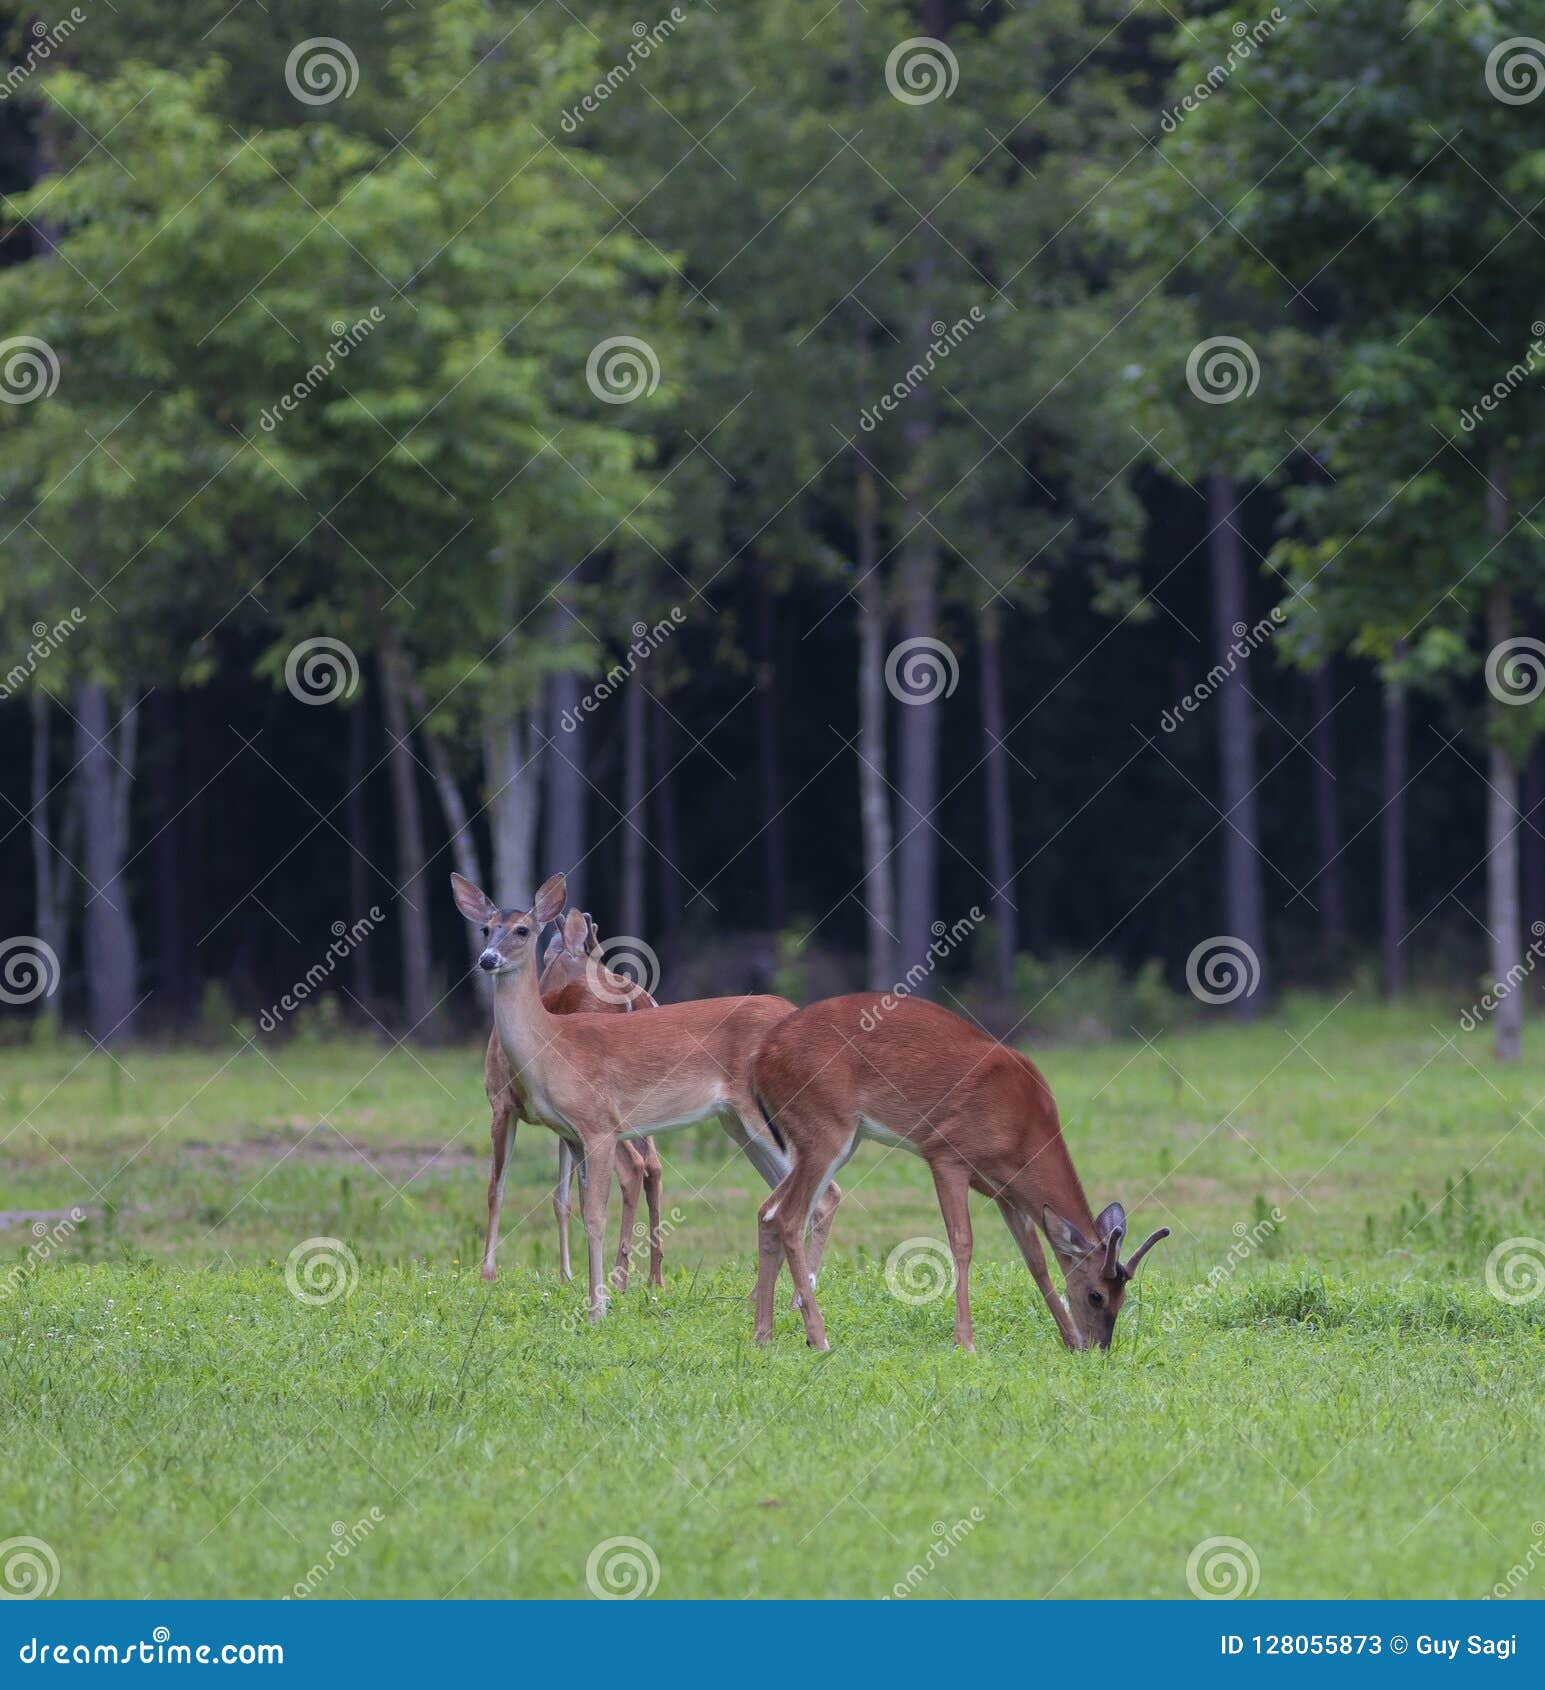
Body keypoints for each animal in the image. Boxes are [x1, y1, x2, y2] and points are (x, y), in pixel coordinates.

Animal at [478, 907, 663, 1287]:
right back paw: (654, 1277)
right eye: (599, 947)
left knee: (635, 1166)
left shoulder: (502, 1105)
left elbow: (496, 1187)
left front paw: (487, 1272)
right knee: (653, 1165)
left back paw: (620, 1276)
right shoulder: (564, 1125)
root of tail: (633, 1000)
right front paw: (567, 1273)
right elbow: (566, 1196)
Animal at [748, 994, 1169, 1353]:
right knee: (789, 1217)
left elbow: (1035, 1260)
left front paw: (1068, 1338)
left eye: (1123, 1297)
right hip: (824, 1129)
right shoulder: (946, 1154)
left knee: (768, 1211)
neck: (1023, 1128)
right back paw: (818, 1338)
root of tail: (762, 1058)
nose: (1099, 1346)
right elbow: (962, 1243)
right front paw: (965, 1342)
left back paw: (762, 1336)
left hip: (829, 1139)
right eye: (1096, 1295)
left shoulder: (1006, 1191)